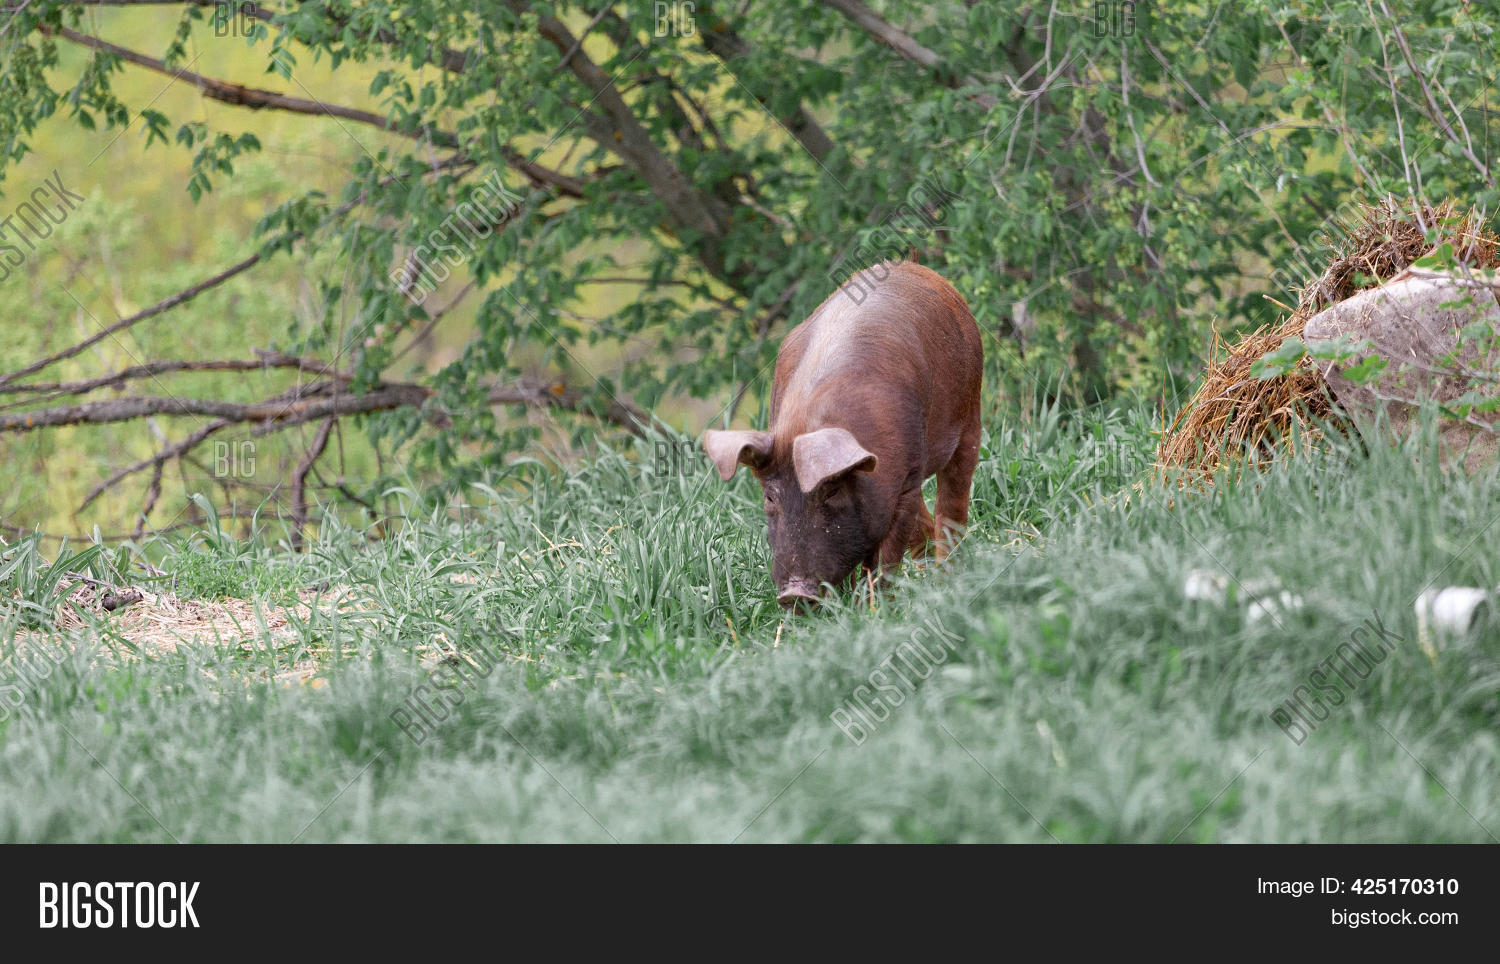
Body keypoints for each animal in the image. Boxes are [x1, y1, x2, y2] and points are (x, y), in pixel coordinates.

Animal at [704, 261, 983, 608]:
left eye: (832, 492)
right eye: (769, 497)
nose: (795, 593)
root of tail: (912, 265)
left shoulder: (906, 478)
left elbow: (885, 560)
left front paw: (874, 611)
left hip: (971, 411)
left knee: (952, 501)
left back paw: (949, 578)